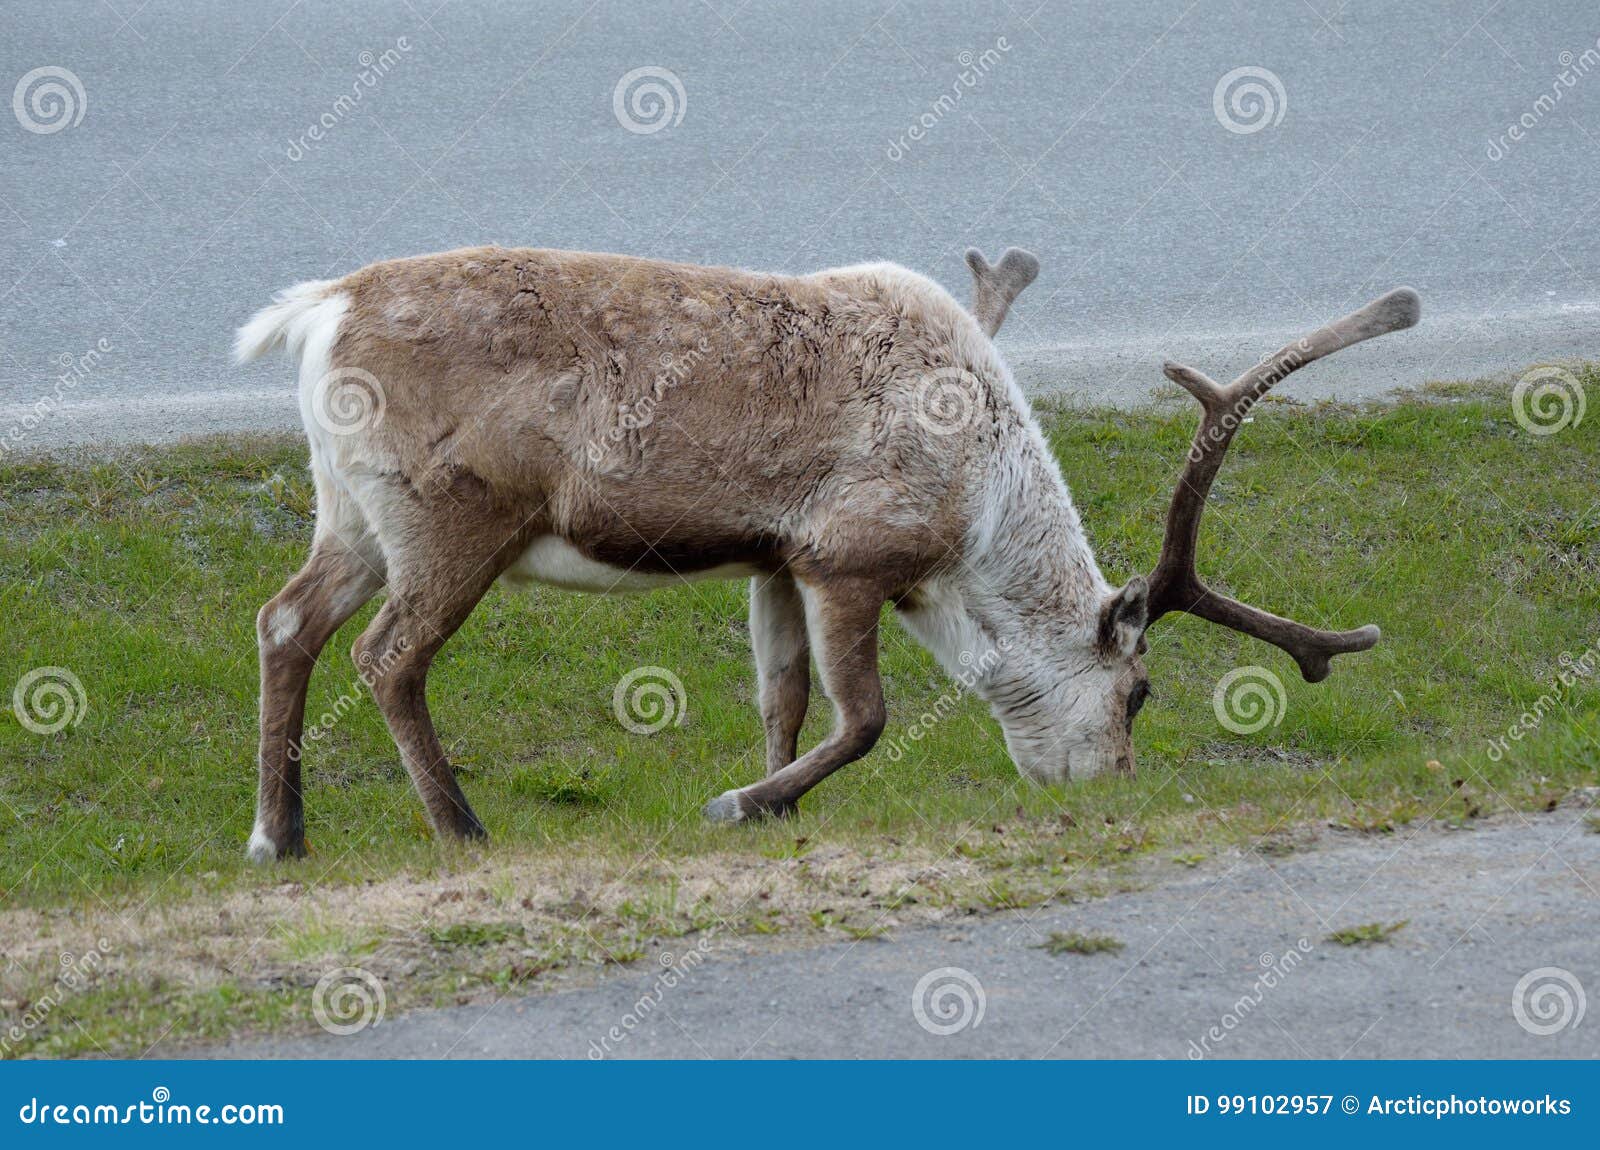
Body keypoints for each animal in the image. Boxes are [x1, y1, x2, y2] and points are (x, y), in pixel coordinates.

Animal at [234, 240, 1418, 861]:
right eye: (1138, 692)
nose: (1108, 790)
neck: (976, 512)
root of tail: (319, 313)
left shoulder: (772, 559)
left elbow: (783, 698)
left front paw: (773, 800)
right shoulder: (848, 558)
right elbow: (866, 717)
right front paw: (741, 802)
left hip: (350, 514)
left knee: (285, 619)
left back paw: (279, 835)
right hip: (452, 520)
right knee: (387, 655)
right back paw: (460, 827)